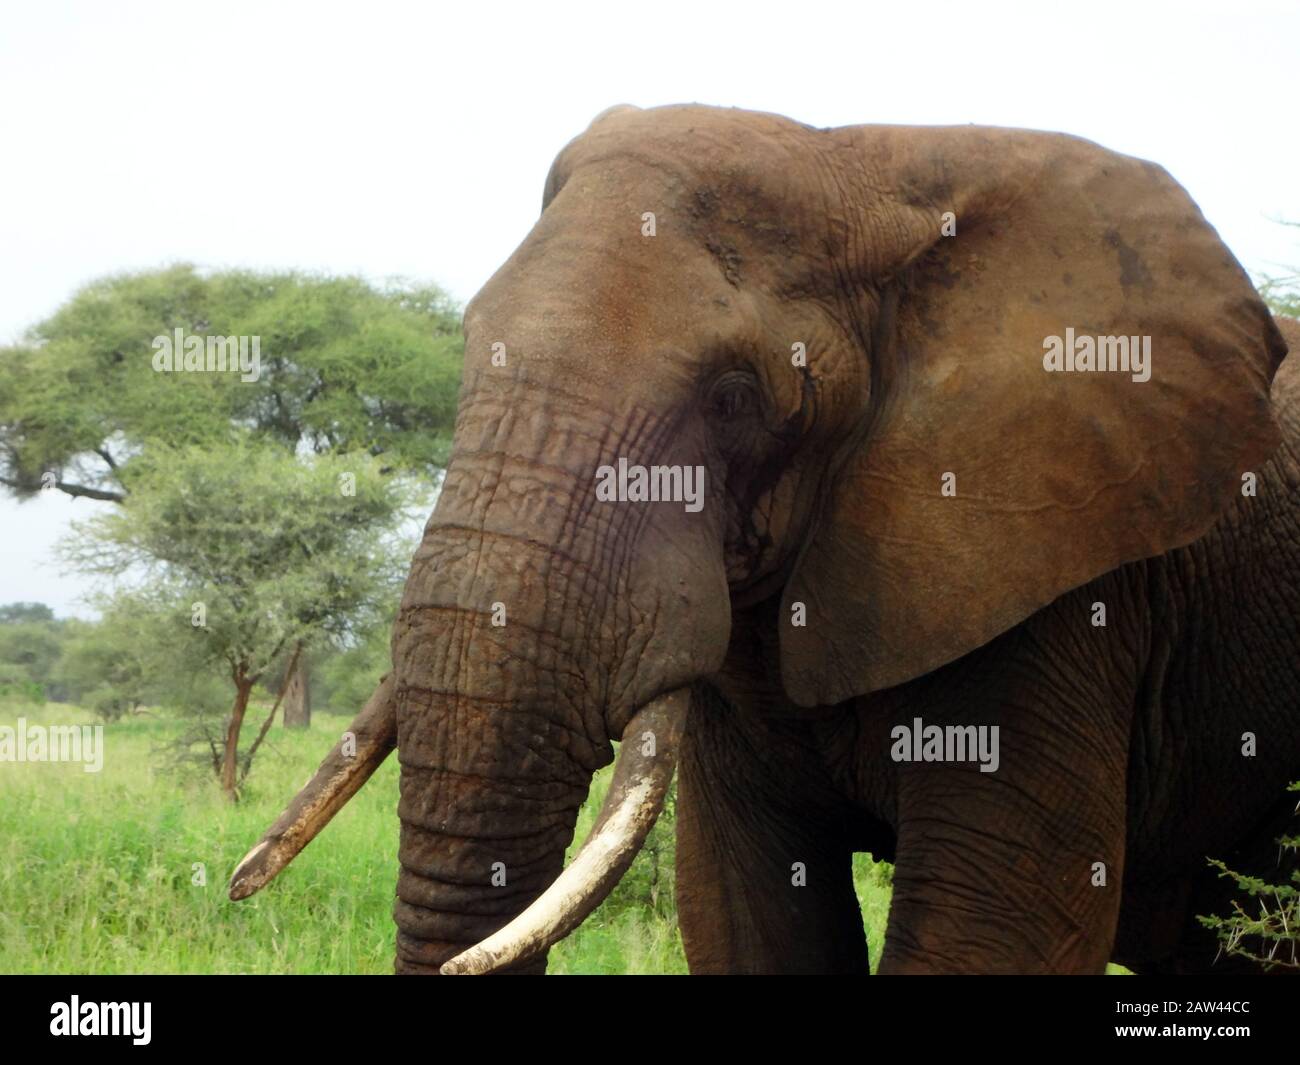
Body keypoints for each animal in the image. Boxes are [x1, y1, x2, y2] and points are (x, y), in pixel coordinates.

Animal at [229, 104, 1300, 975]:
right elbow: (743, 910)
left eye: (737, 397)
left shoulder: (1065, 583)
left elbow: (995, 926)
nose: (236, 882)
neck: (871, 171)